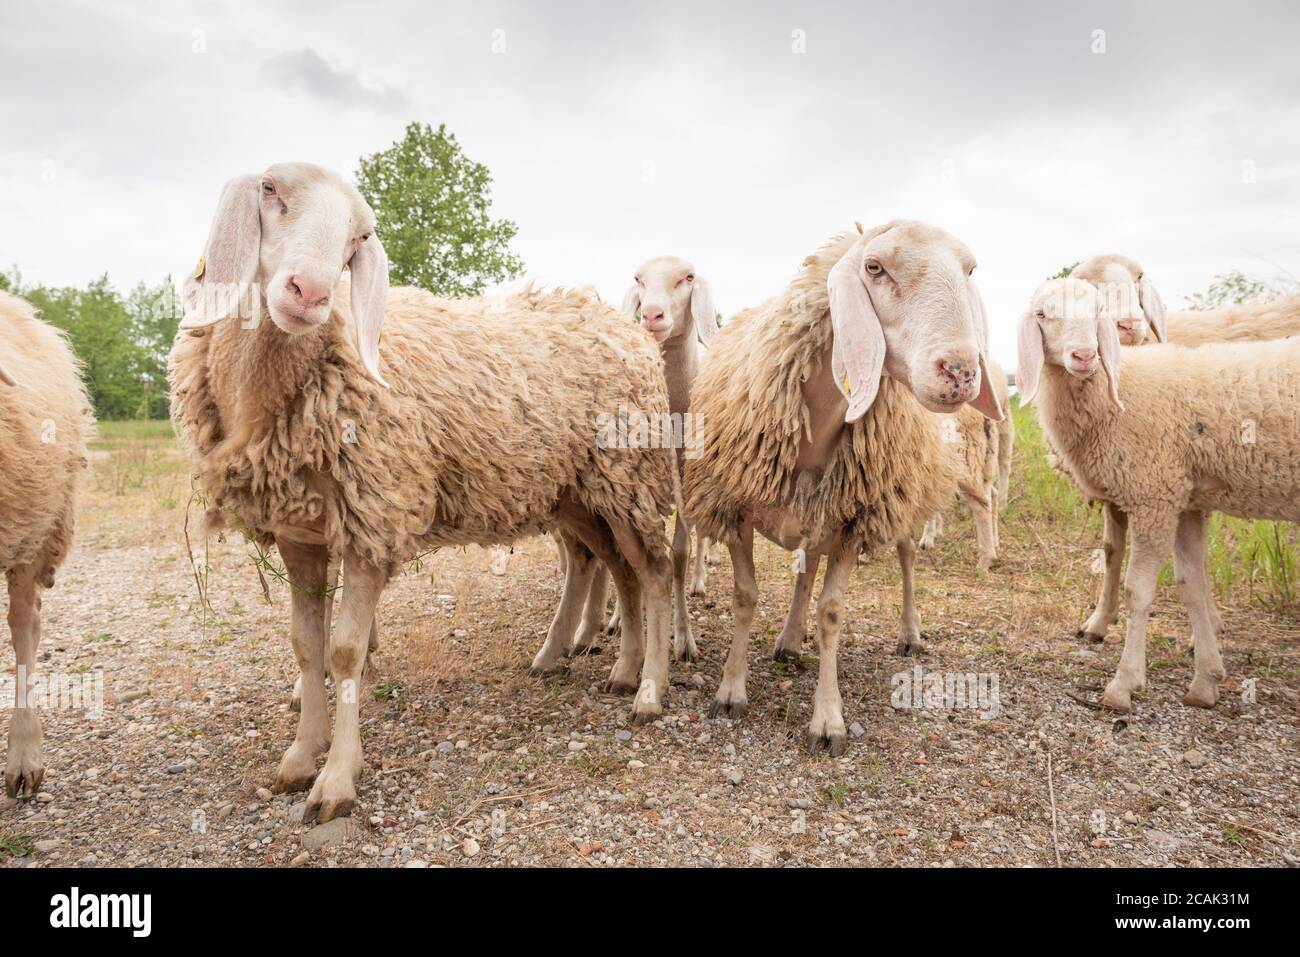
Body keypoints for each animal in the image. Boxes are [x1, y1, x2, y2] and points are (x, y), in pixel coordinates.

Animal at [170, 163, 678, 822]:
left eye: (360, 237)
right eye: (270, 190)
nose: (309, 293)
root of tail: (625, 328)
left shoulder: (373, 514)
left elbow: (343, 651)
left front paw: (336, 780)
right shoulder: (298, 532)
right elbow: (306, 646)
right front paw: (300, 757)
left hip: (630, 476)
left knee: (655, 572)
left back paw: (650, 691)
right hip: (582, 492)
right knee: (617, 568)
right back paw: (617, 667)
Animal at [684, 221, 1004, 753]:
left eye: (971, 270)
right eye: (873, 267)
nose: (960, 372)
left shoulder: (856, 519)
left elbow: (832, 612)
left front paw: (828, 719)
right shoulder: (736, 508)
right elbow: (746, 596)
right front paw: (730, 691)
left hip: (895, 500)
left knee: (907, 558)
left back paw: (910, 632)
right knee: (807, 568)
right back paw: (789, 640)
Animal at [1017, 276, 1300, 711]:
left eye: (1098, 312)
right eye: (1042, 315)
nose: (1084, 355)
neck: (1116, 394)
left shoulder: (1154, 496)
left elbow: (1138, 591)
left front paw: (1124, 683)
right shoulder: (1184, 499)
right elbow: (1192, 584)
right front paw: (1206, 681)